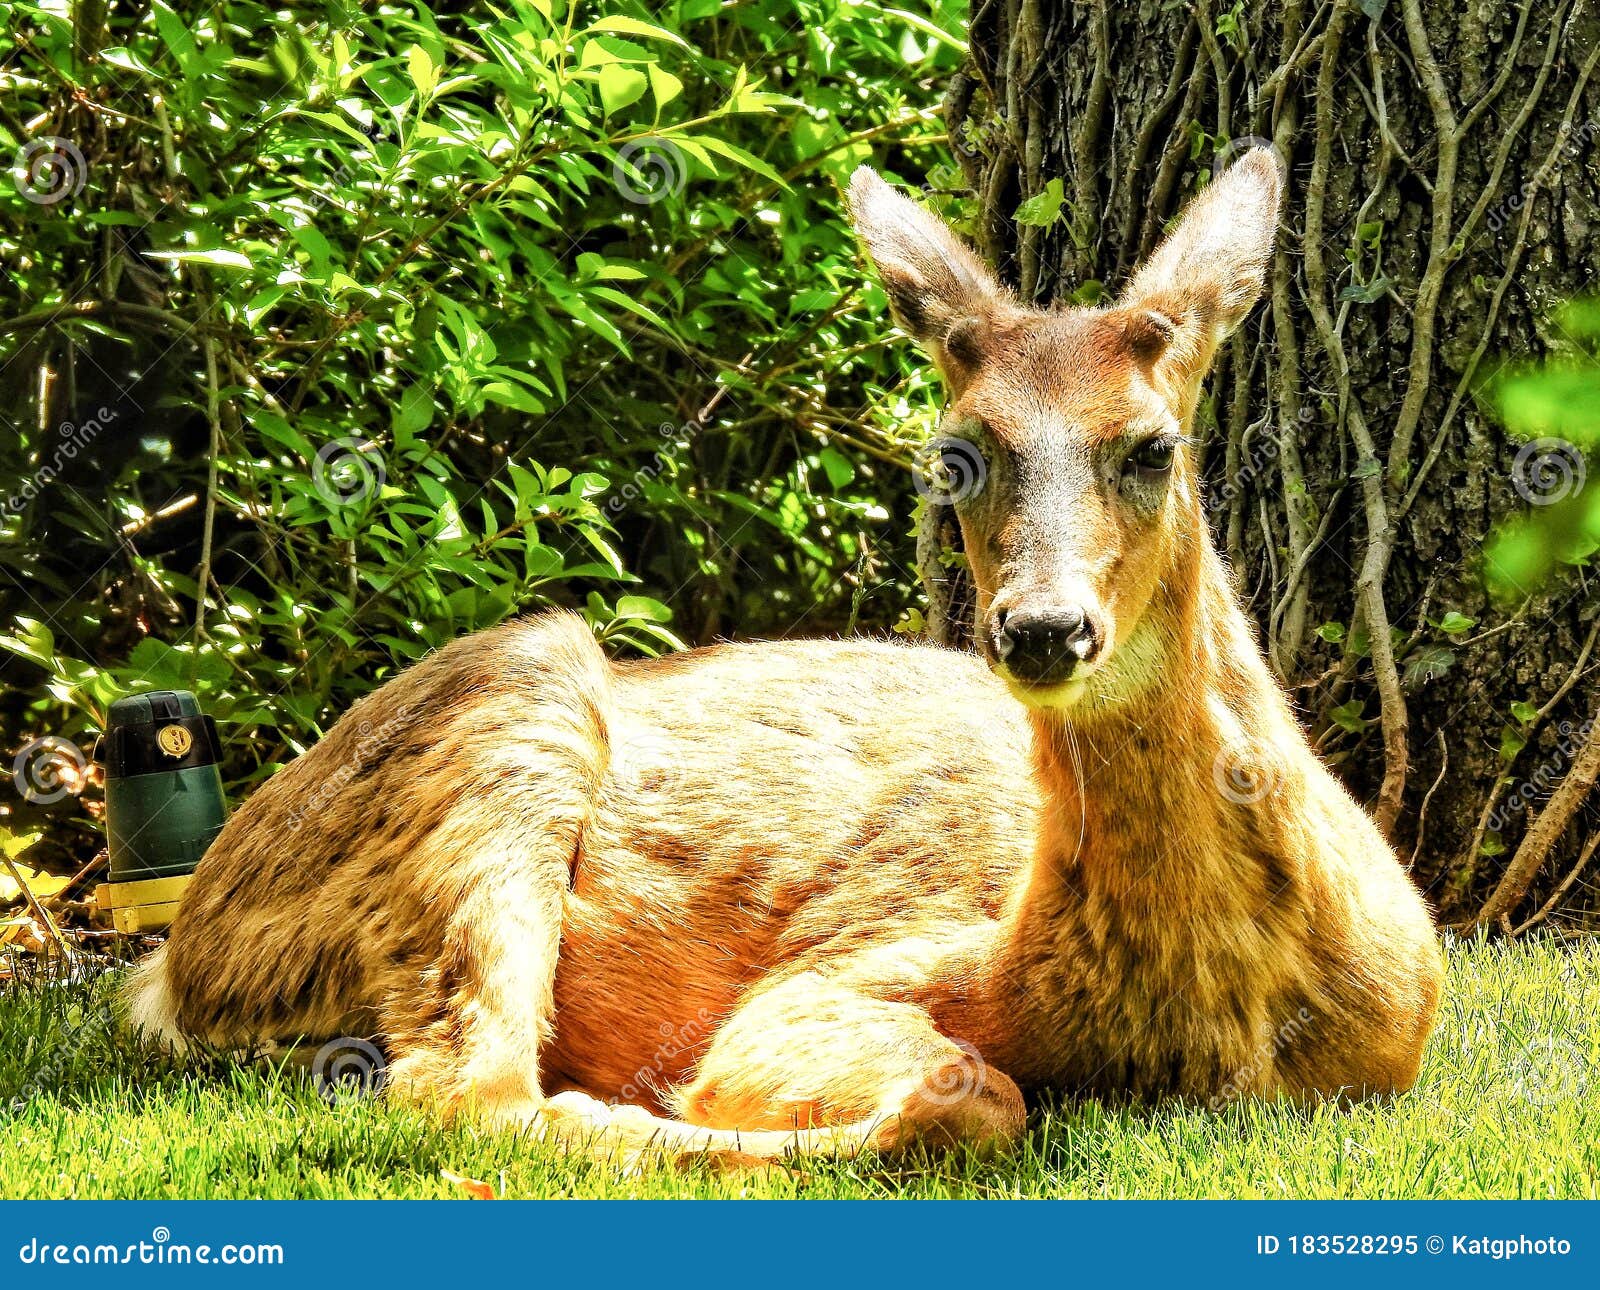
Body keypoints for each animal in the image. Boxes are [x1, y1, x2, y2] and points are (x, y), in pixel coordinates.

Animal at [126, 149, 1444, 1160]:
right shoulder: (827, 983)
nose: (1041, 628)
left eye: (1153, 446)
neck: (1202, 1016)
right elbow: (976, 1094)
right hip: (507, 718)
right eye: (954, 453)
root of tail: (177, 956)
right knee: (473, 1094)